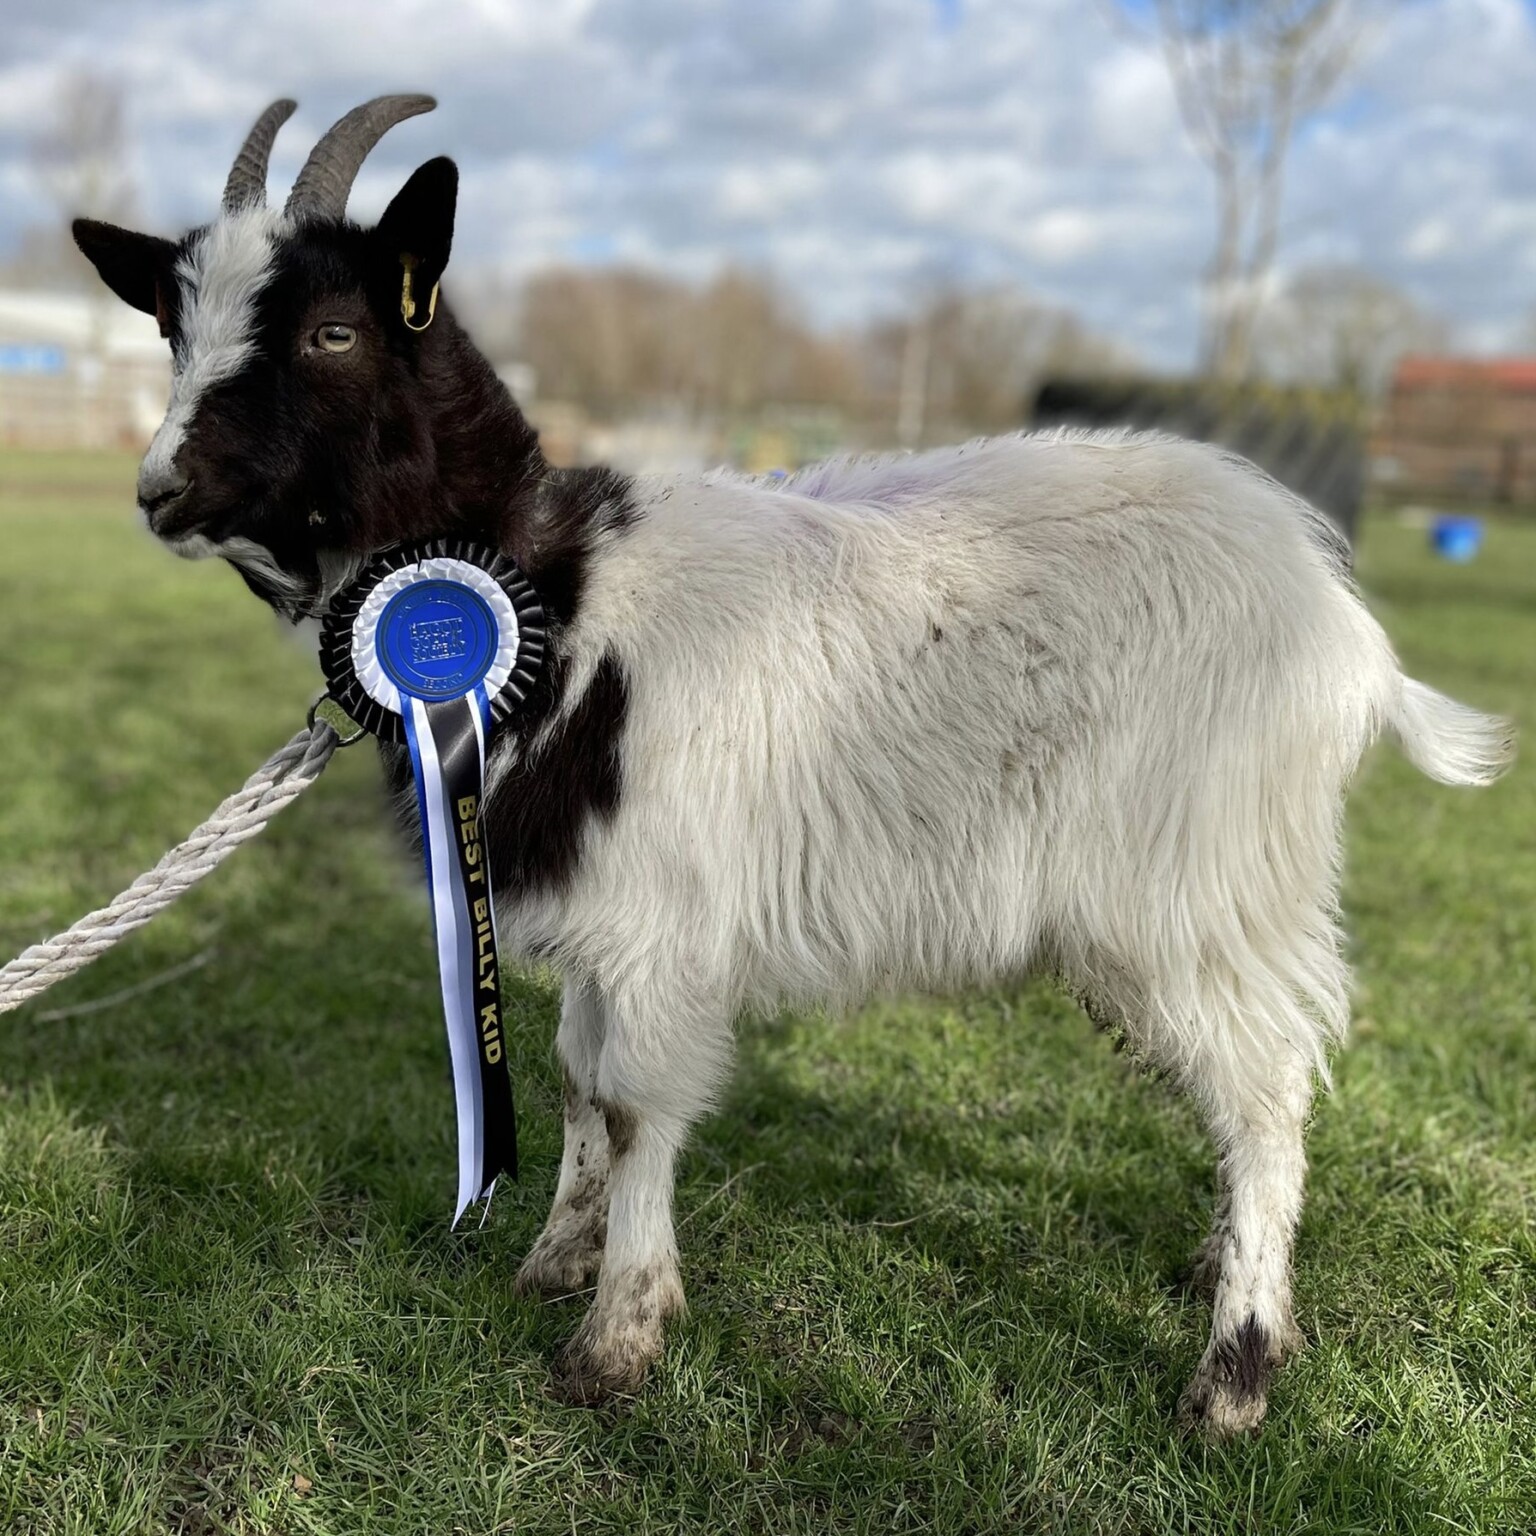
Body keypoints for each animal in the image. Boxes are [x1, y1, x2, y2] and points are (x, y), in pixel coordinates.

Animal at [74, 96, 1514, 1436]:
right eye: (174, 327)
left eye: (333, 332)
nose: (158, 492)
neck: (554, 590)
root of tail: (1346, 628)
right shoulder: (600, 915)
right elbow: (579, 1080)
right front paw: (558, 1258)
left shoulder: (659, 922)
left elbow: (637, 1107)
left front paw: (617, 1339)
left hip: (1200, 884)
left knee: (1267, 1098)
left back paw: (1233, 1374)